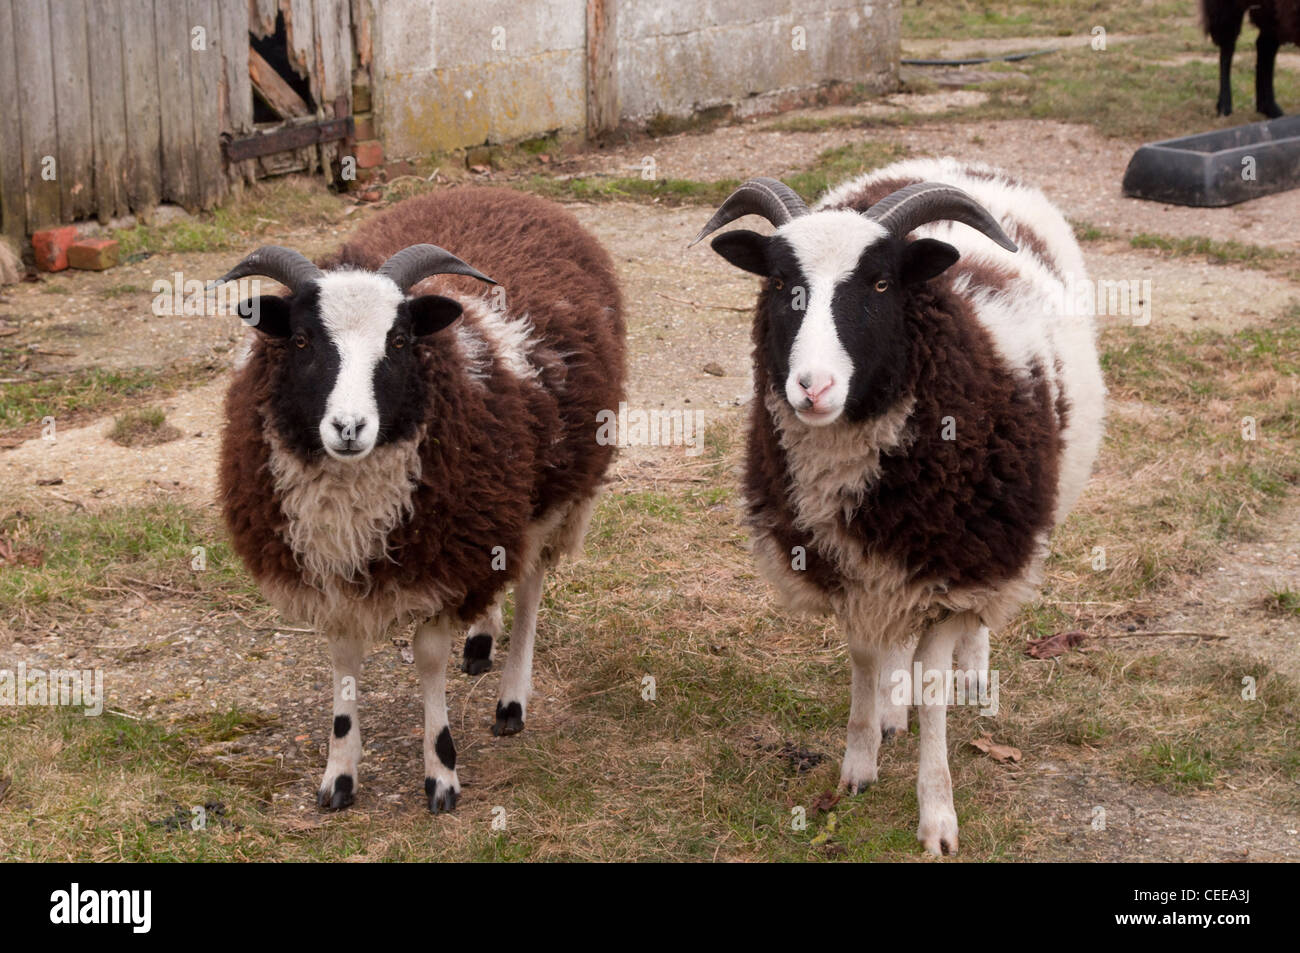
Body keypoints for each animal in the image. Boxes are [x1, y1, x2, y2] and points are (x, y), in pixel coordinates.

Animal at [213, 188, 625, 812]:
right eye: (302, 340)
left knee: (530, 583)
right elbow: (344, 658)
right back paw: (480, 640)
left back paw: (511, 697)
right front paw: (339, 774)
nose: (349, 427)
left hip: (551, 493)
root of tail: (503, 192)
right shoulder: (333, 570)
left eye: (400, 341)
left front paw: (441, 772)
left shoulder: (442, 562)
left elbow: (429, 659)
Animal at [694, 158, 1106, 855]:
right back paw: (891, 708)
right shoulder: (844, 568)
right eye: (780, 282)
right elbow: (864, 661)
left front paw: (937, 816)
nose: (813, 387)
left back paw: (974, 670)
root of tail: (951, 163)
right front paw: (858, 765)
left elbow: (934, 687)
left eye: (882, 283)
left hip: (995, 544)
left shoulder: (958, 564)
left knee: (974, 623)